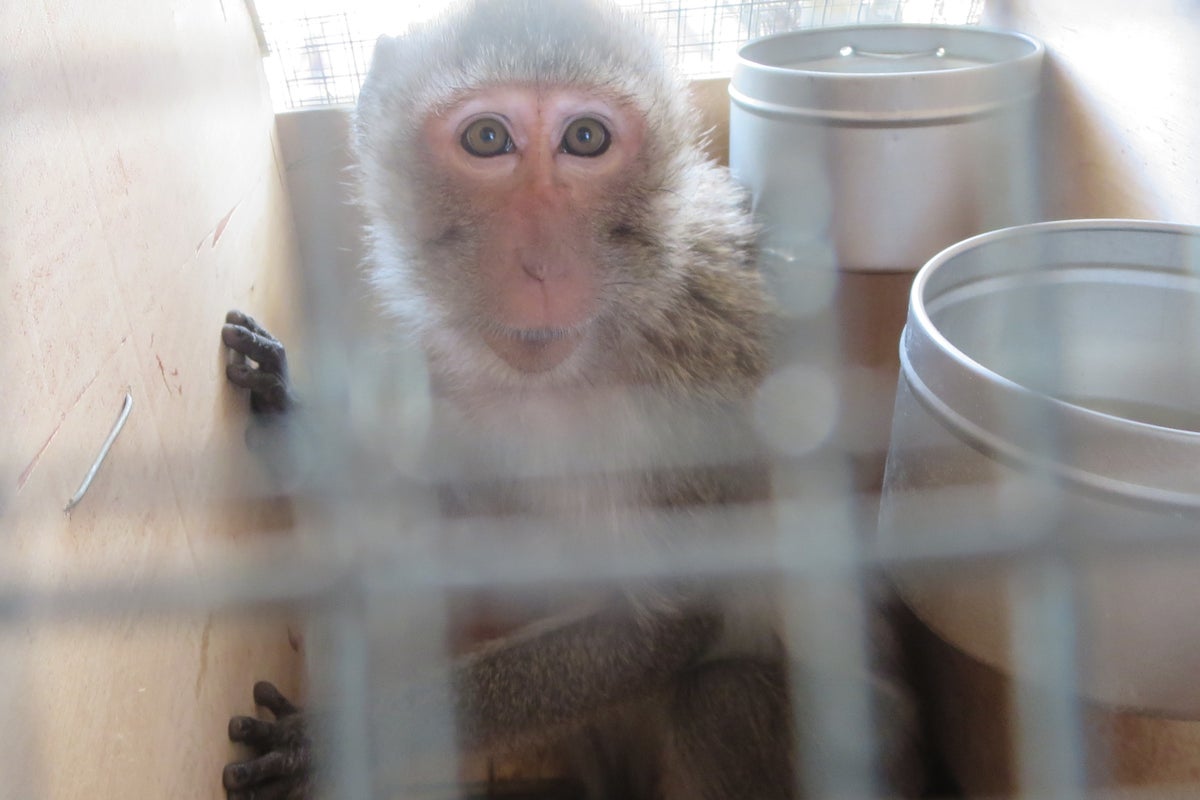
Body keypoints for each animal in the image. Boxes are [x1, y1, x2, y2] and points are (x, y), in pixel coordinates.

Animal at [219, 1, 922, 798]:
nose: (543, 262)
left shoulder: (696, 387)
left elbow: (660, 628)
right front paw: (295, 420)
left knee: (720, 700)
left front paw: (346, 742)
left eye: (586, 139)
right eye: (486, 139)